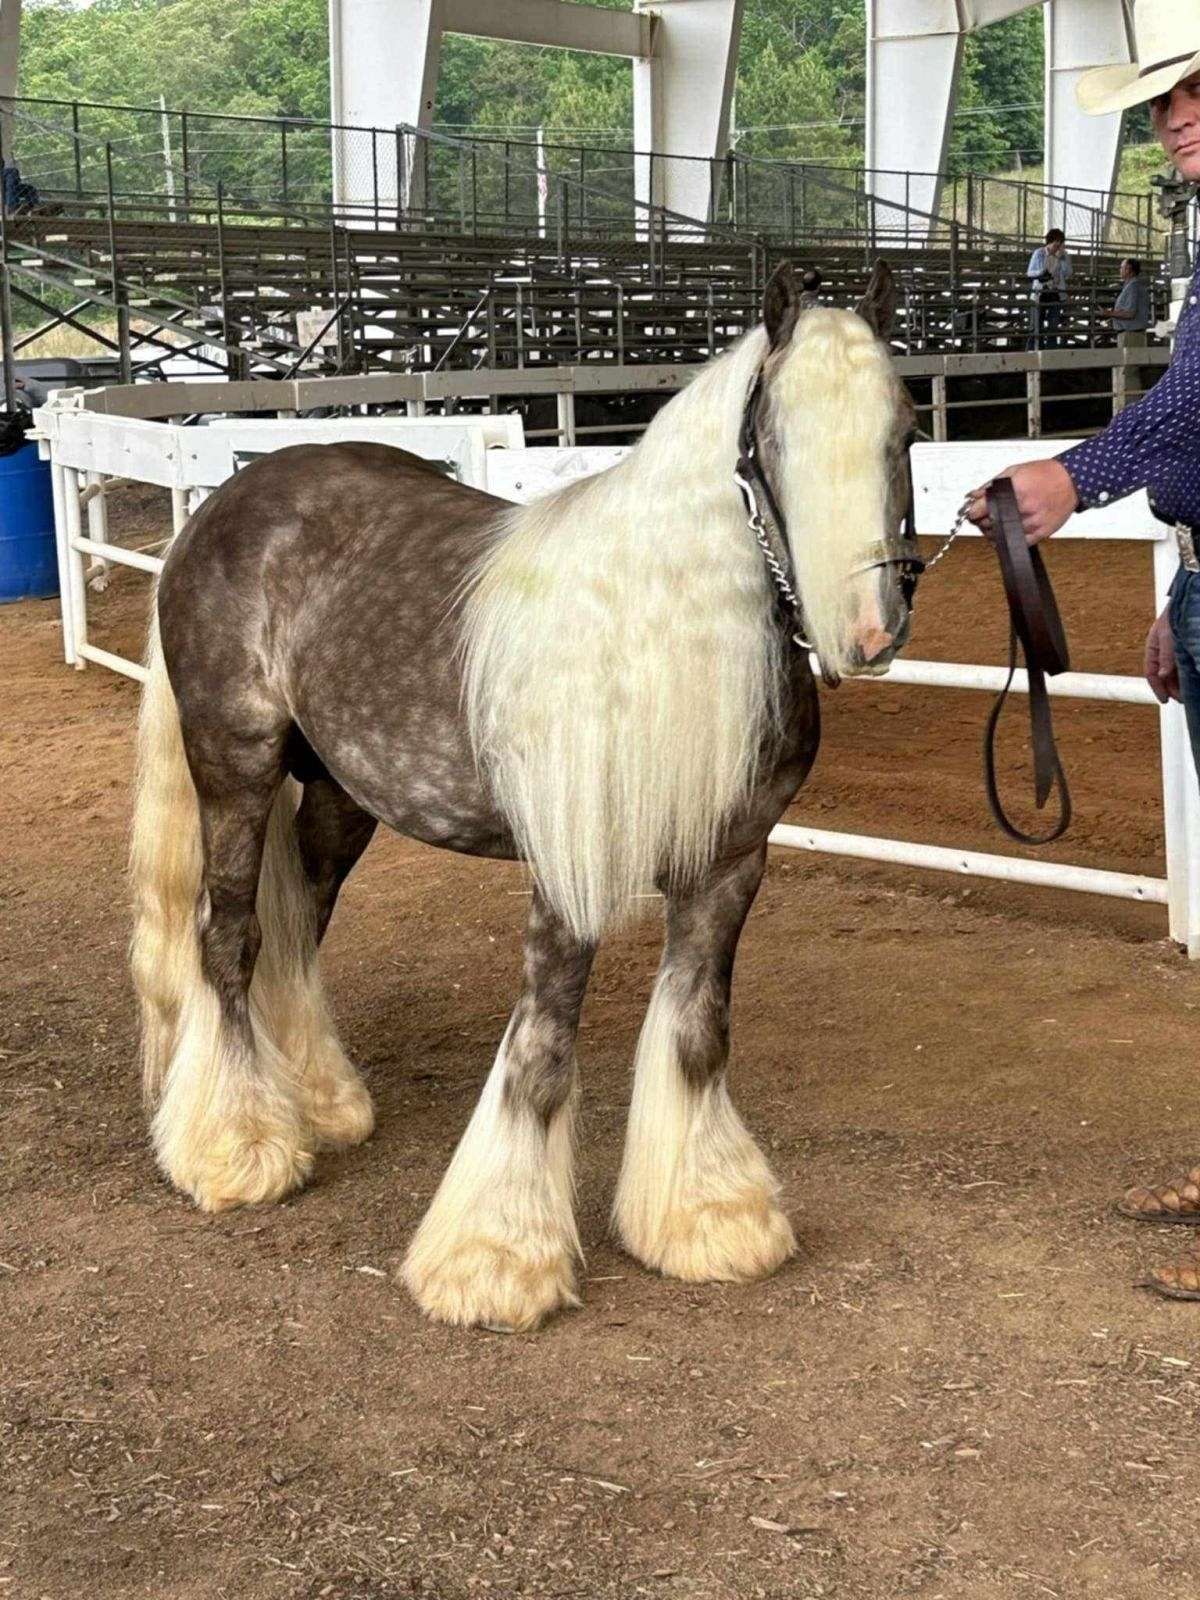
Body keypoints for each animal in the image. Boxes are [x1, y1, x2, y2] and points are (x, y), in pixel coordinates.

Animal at [129, 259, 919, 1332]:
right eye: (772, 439)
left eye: (905, 428)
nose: (868, 632)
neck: (664, 634)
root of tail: (220, 505)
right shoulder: (564, 874)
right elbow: (542, 1048)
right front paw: (497, 1261)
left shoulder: (728, 866)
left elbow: (697, 1032)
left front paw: (709, 1219)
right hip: (234, 767)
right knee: (229, 936)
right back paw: (239, 1149)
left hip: (339, 796)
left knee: (298, 929)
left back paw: (324, 1106)